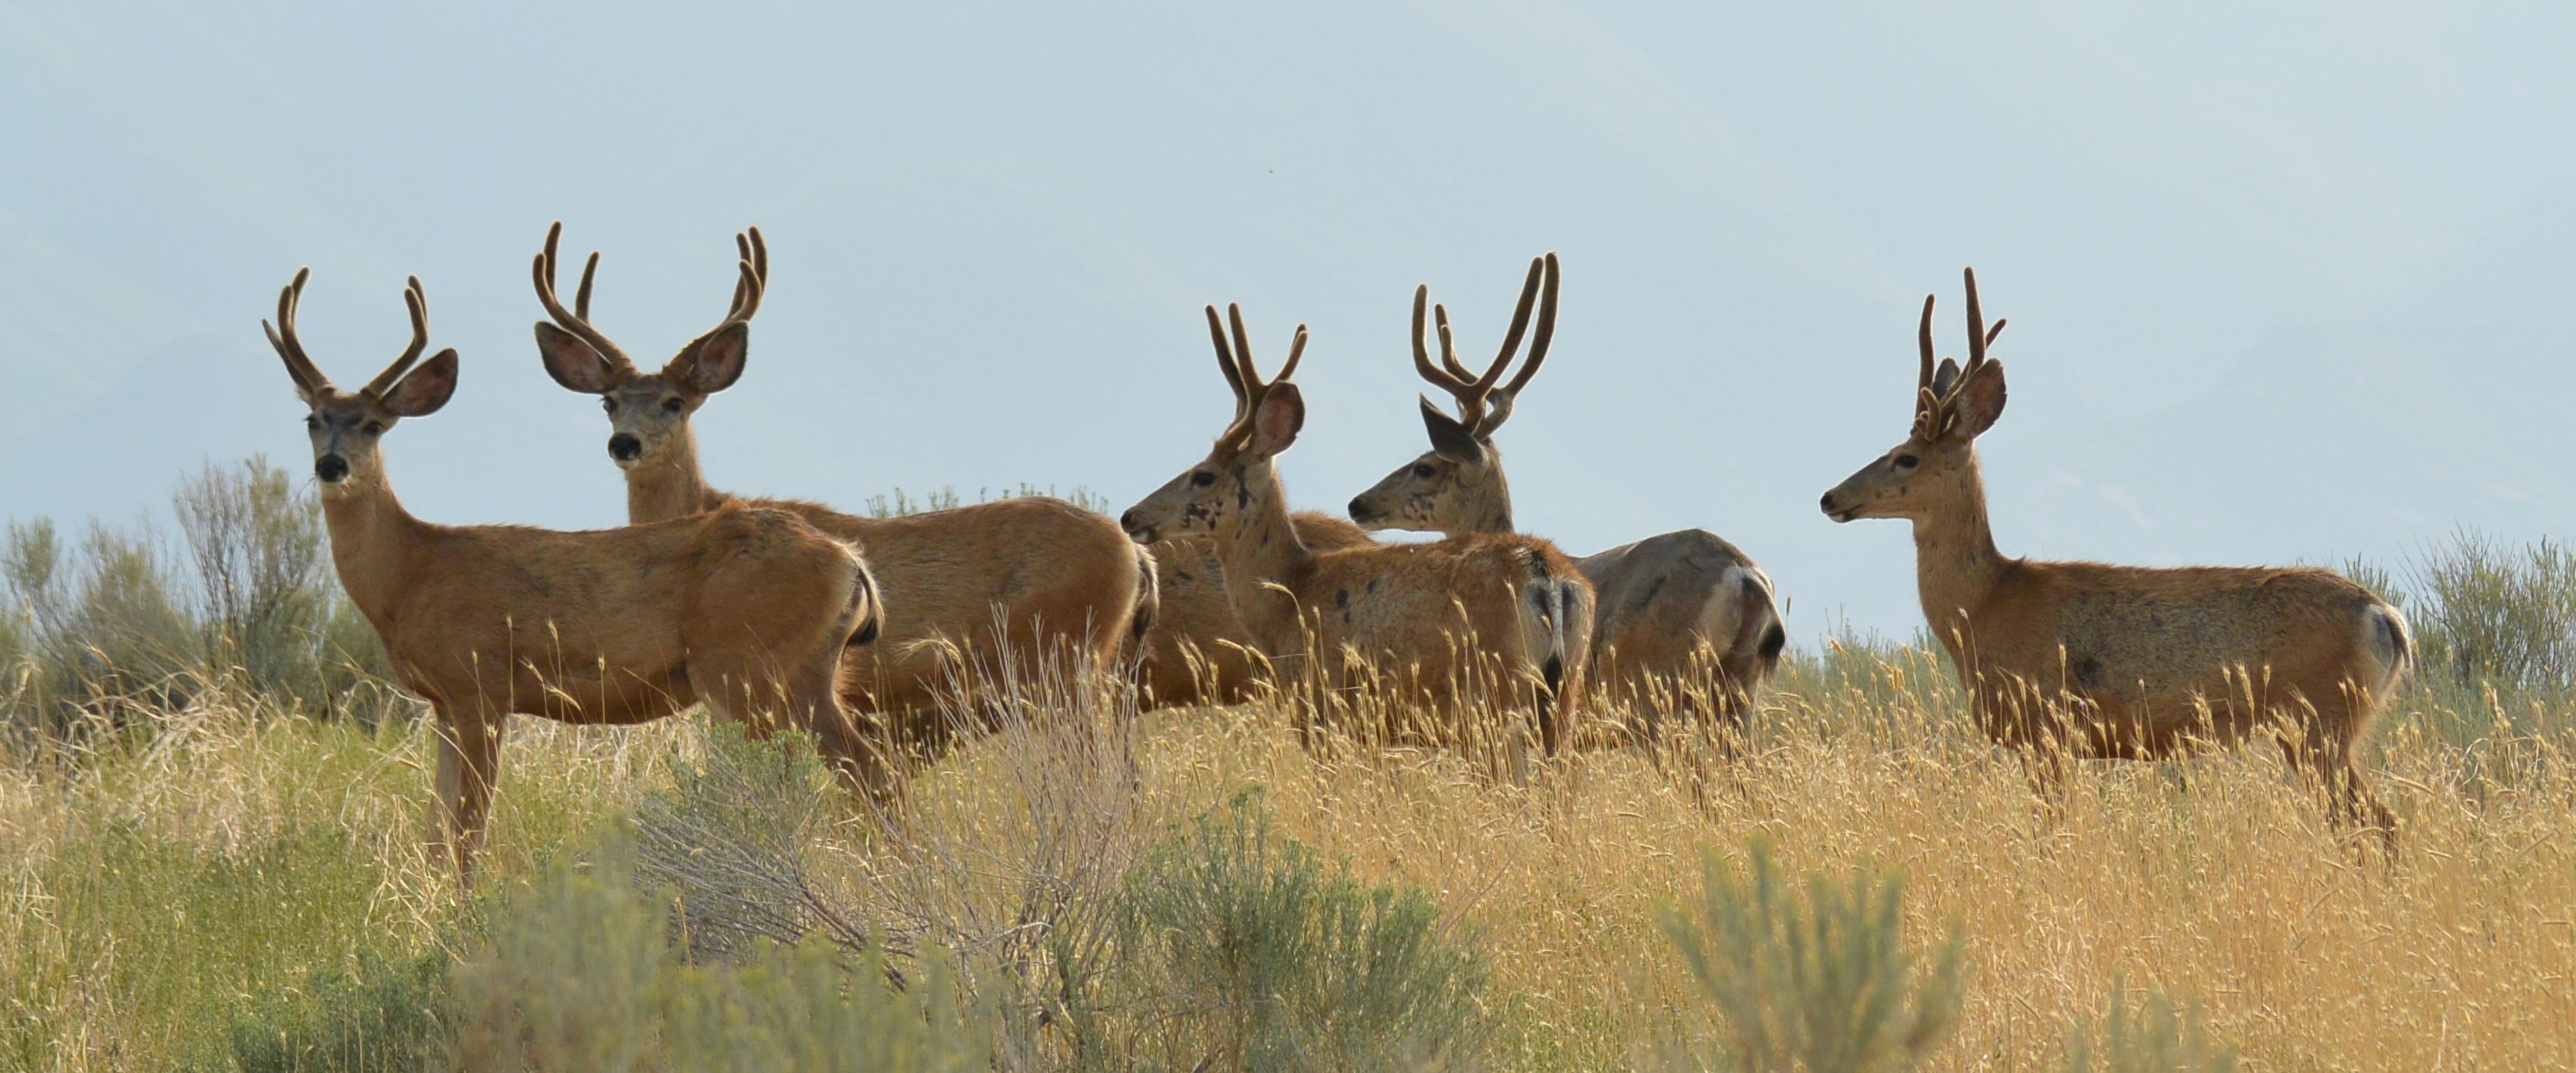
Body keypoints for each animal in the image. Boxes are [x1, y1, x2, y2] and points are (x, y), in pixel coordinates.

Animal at [262, 269, 881, 880]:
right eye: (312, 419)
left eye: (373, 424)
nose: (331, 465)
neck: (411, 574)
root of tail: (850, 561)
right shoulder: (441, 700)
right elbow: (436, 829)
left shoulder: (480, 683)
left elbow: (467, 829)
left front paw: (462, 903)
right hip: (808, 671)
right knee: (863, 764)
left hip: (742, 666)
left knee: (812, 771)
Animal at [529, 223, 1155, 772]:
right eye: (608, 402)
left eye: (674, 402)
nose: (624, 443)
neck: (703, 508)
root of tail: (1136, 555)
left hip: (1056, 656)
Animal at [1120, 304, 1594, 756]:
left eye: (1203, 475)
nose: (1130, 516)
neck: (1288, 596)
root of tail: (1546, 575)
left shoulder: (1322, 710)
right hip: (1562, 697)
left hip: (1491, 698)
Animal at [1817, 267, 2409, 842]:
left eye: (1905, 458)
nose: (1829, 497)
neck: (1985, 608)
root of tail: (2385, 616)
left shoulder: (2047, 730)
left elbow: (2053, 832)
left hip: (2319, 719)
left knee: (2380, 820)